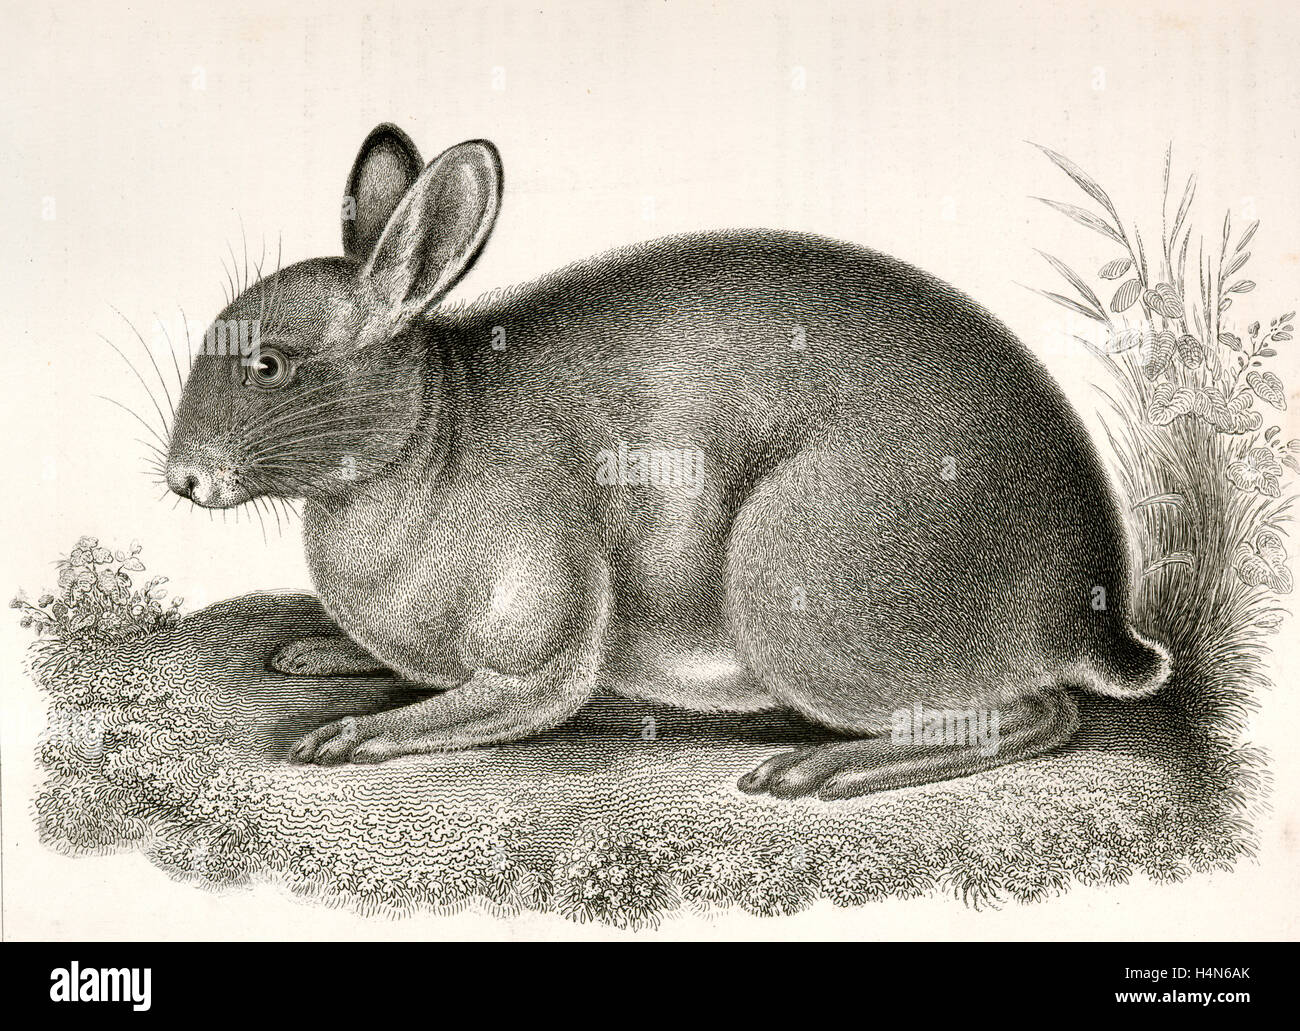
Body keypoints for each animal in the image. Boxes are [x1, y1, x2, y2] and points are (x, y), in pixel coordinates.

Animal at [164, 122, 1171, 799]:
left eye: (270, 363)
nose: (183, 477)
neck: (426, 434)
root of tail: (1091, 613)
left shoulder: (540, 652)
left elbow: (496, 699)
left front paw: (344, 736)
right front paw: (309, 651)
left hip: (800, 583)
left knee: (1038, 714)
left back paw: (819, 767)